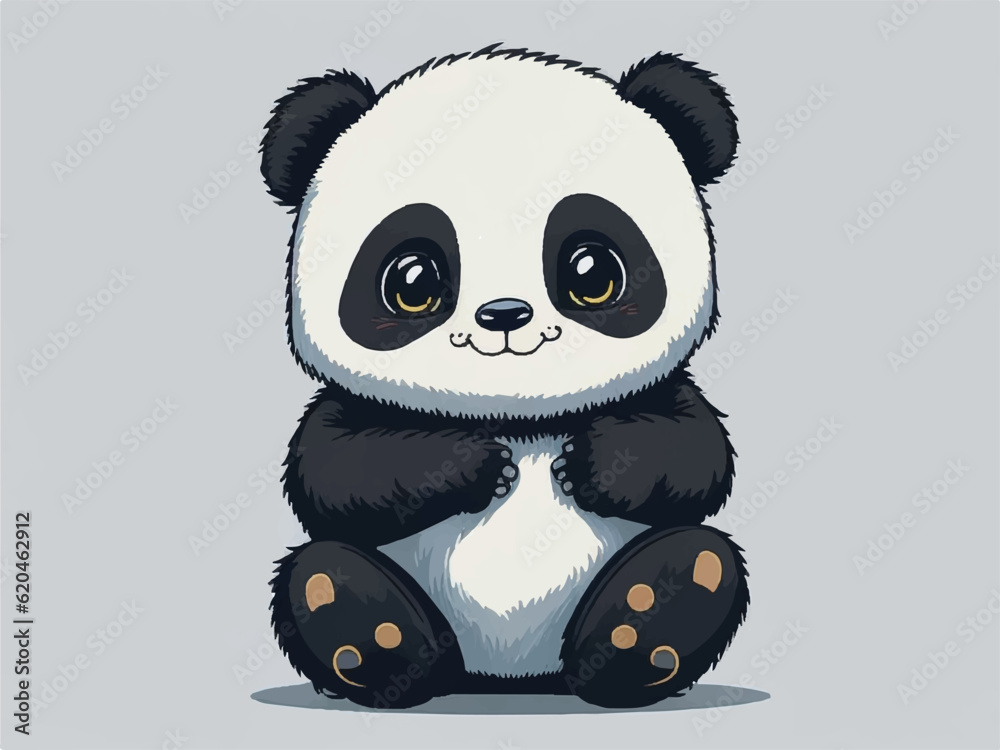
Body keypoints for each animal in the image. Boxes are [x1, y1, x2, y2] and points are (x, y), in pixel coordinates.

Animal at [263, 44, 749, 710]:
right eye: (412, 280)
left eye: (592, 272)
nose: (504, 316)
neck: (515, 413)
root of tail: (511, 678)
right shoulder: (350, 409)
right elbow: (333, 470)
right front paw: (476, 463)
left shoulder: (665, 393)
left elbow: (694, 453)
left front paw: (588, 463)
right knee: (320, 567)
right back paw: (386, 646)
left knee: (703, 554)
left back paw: (631, 636)